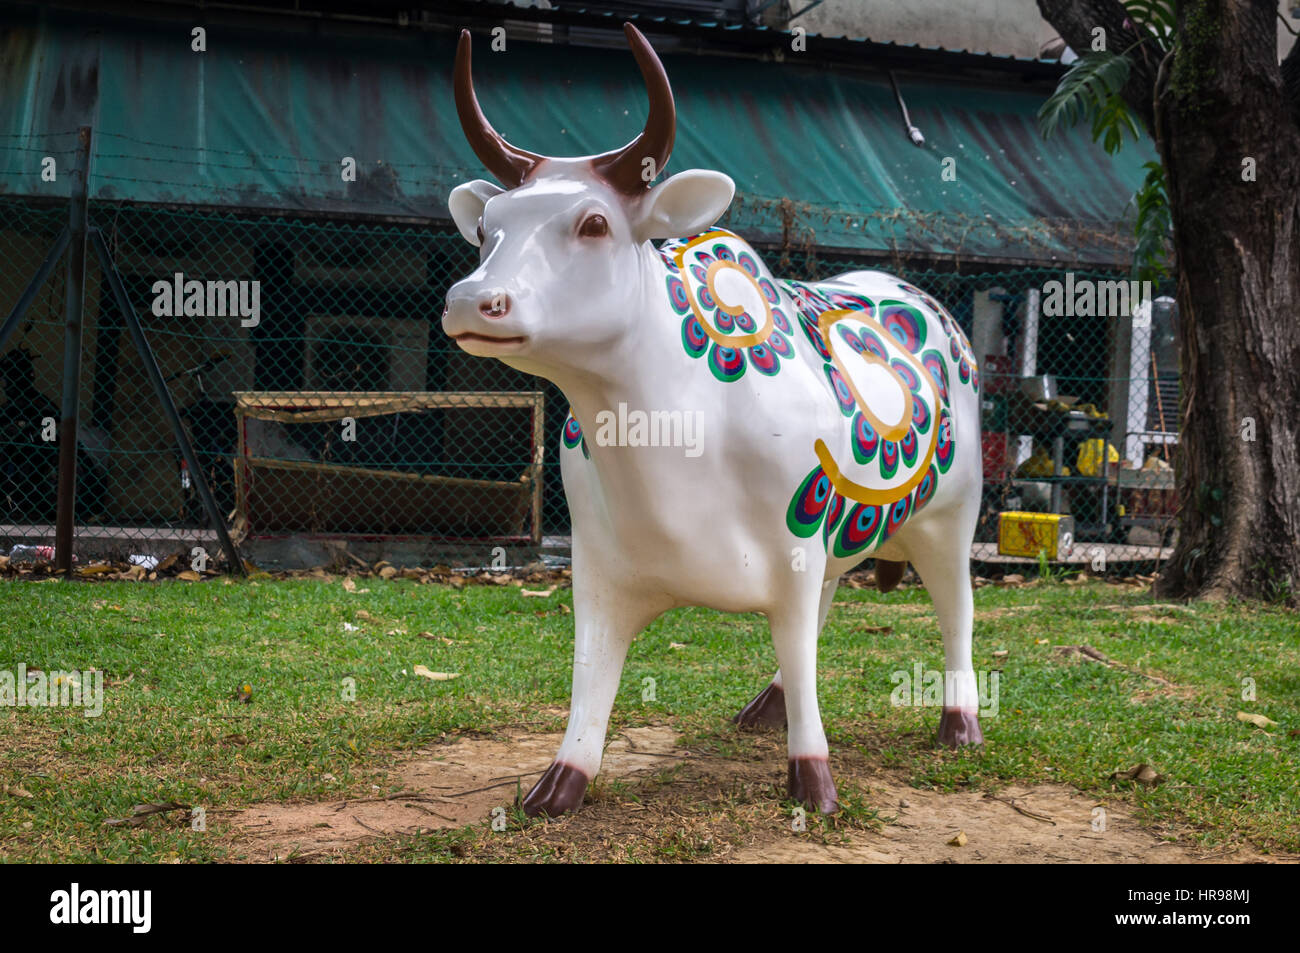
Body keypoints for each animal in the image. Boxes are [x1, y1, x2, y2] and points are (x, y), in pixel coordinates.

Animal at [442, 23, 985, 818]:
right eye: (486, 227)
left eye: (595, 222)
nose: (471, 300)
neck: (676, 431)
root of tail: (922, 299)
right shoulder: (599, 564)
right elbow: (592, 674)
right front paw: (559, 782)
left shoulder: (796, 546)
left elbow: (801, 644)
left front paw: (815, 780)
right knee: (828, 608)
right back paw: (770, 705)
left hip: (951, 515)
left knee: (955, 613)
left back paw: (959, 722)